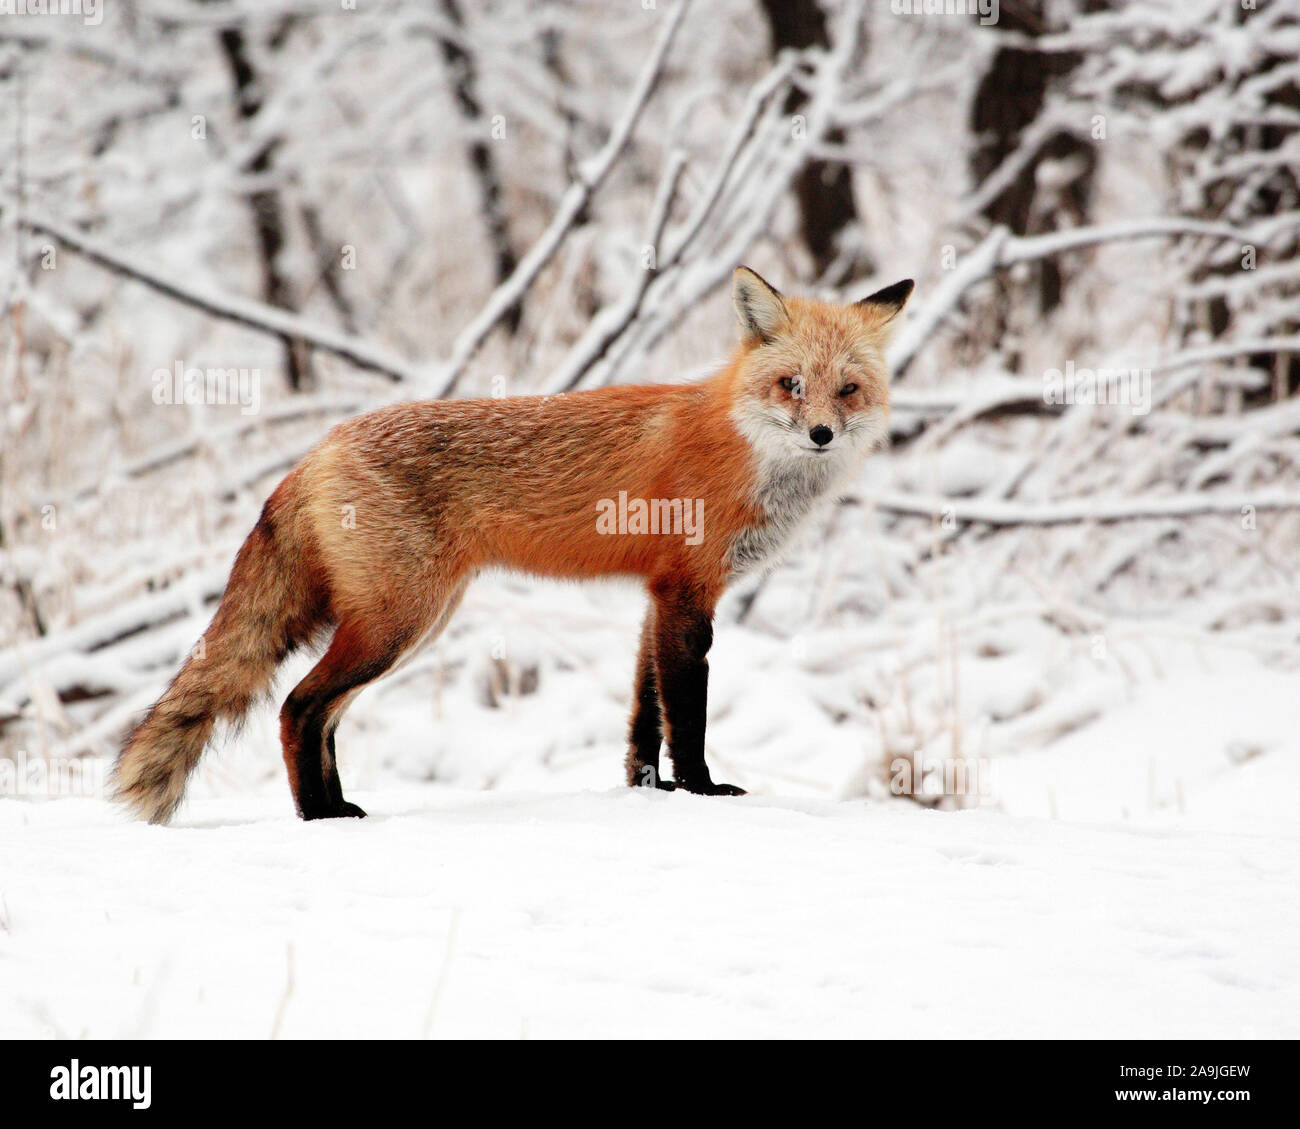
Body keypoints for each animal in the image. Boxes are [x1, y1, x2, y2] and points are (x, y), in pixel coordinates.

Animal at [114, 267, 913, 823]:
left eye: (847, 390)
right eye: (791, 385)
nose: (822, 434)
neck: (744, 451)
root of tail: (318, 447)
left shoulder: (657, 596)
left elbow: (641, 719)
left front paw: (646, 792)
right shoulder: (688, 593)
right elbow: (686, 716)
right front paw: (702, 791)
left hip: (414, 625)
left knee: (321, 714)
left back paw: (337, 806)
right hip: (398, 623)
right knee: (297, 707)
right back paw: (317, 817)